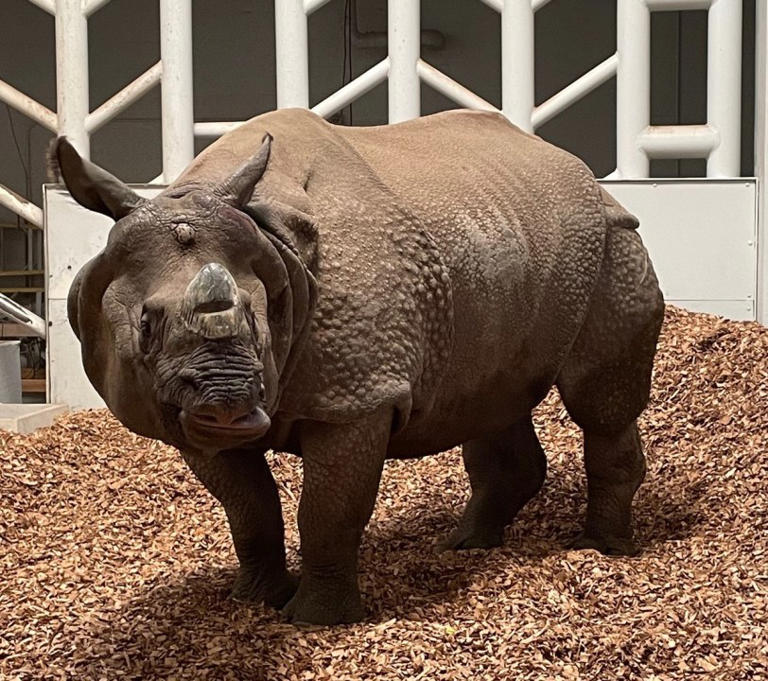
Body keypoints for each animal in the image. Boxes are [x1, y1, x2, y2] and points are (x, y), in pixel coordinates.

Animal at [53, 108, 664, 625]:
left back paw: (600, 550)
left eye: (258, 317)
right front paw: (255, 602)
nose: (229, 408)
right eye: (146, 325)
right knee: (490, 397)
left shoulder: (358, 397)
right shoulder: (182, 416)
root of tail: (582, 172)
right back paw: (463, 546)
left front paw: (314, 621)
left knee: (597, 402)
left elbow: (327, 512)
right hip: (503, 238)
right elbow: (249, 509)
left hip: (613, 239)